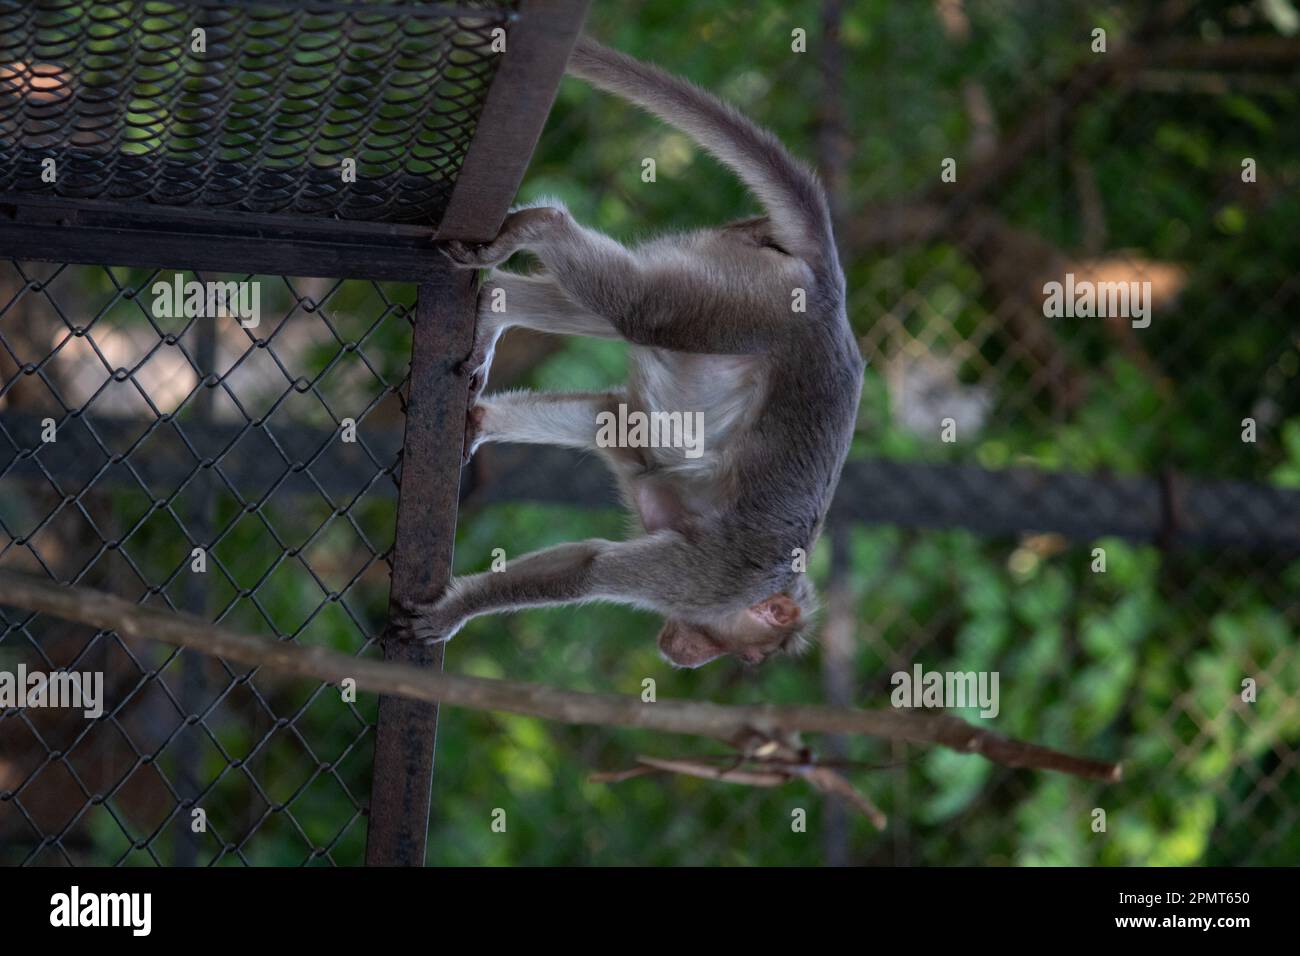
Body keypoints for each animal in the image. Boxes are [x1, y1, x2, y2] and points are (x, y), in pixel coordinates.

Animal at [396, 36, 864, 668]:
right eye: (747, 654)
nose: (679, 653)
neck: (763, 585)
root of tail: (832, 298)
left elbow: (614, 423)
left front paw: (484, 420)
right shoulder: (718, 577)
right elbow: (592, 568)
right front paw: (456, 612)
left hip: (732, 268)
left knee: (632, 316)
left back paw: (495, 306)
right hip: (764, 305)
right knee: (646, 308)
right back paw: (541, 227)